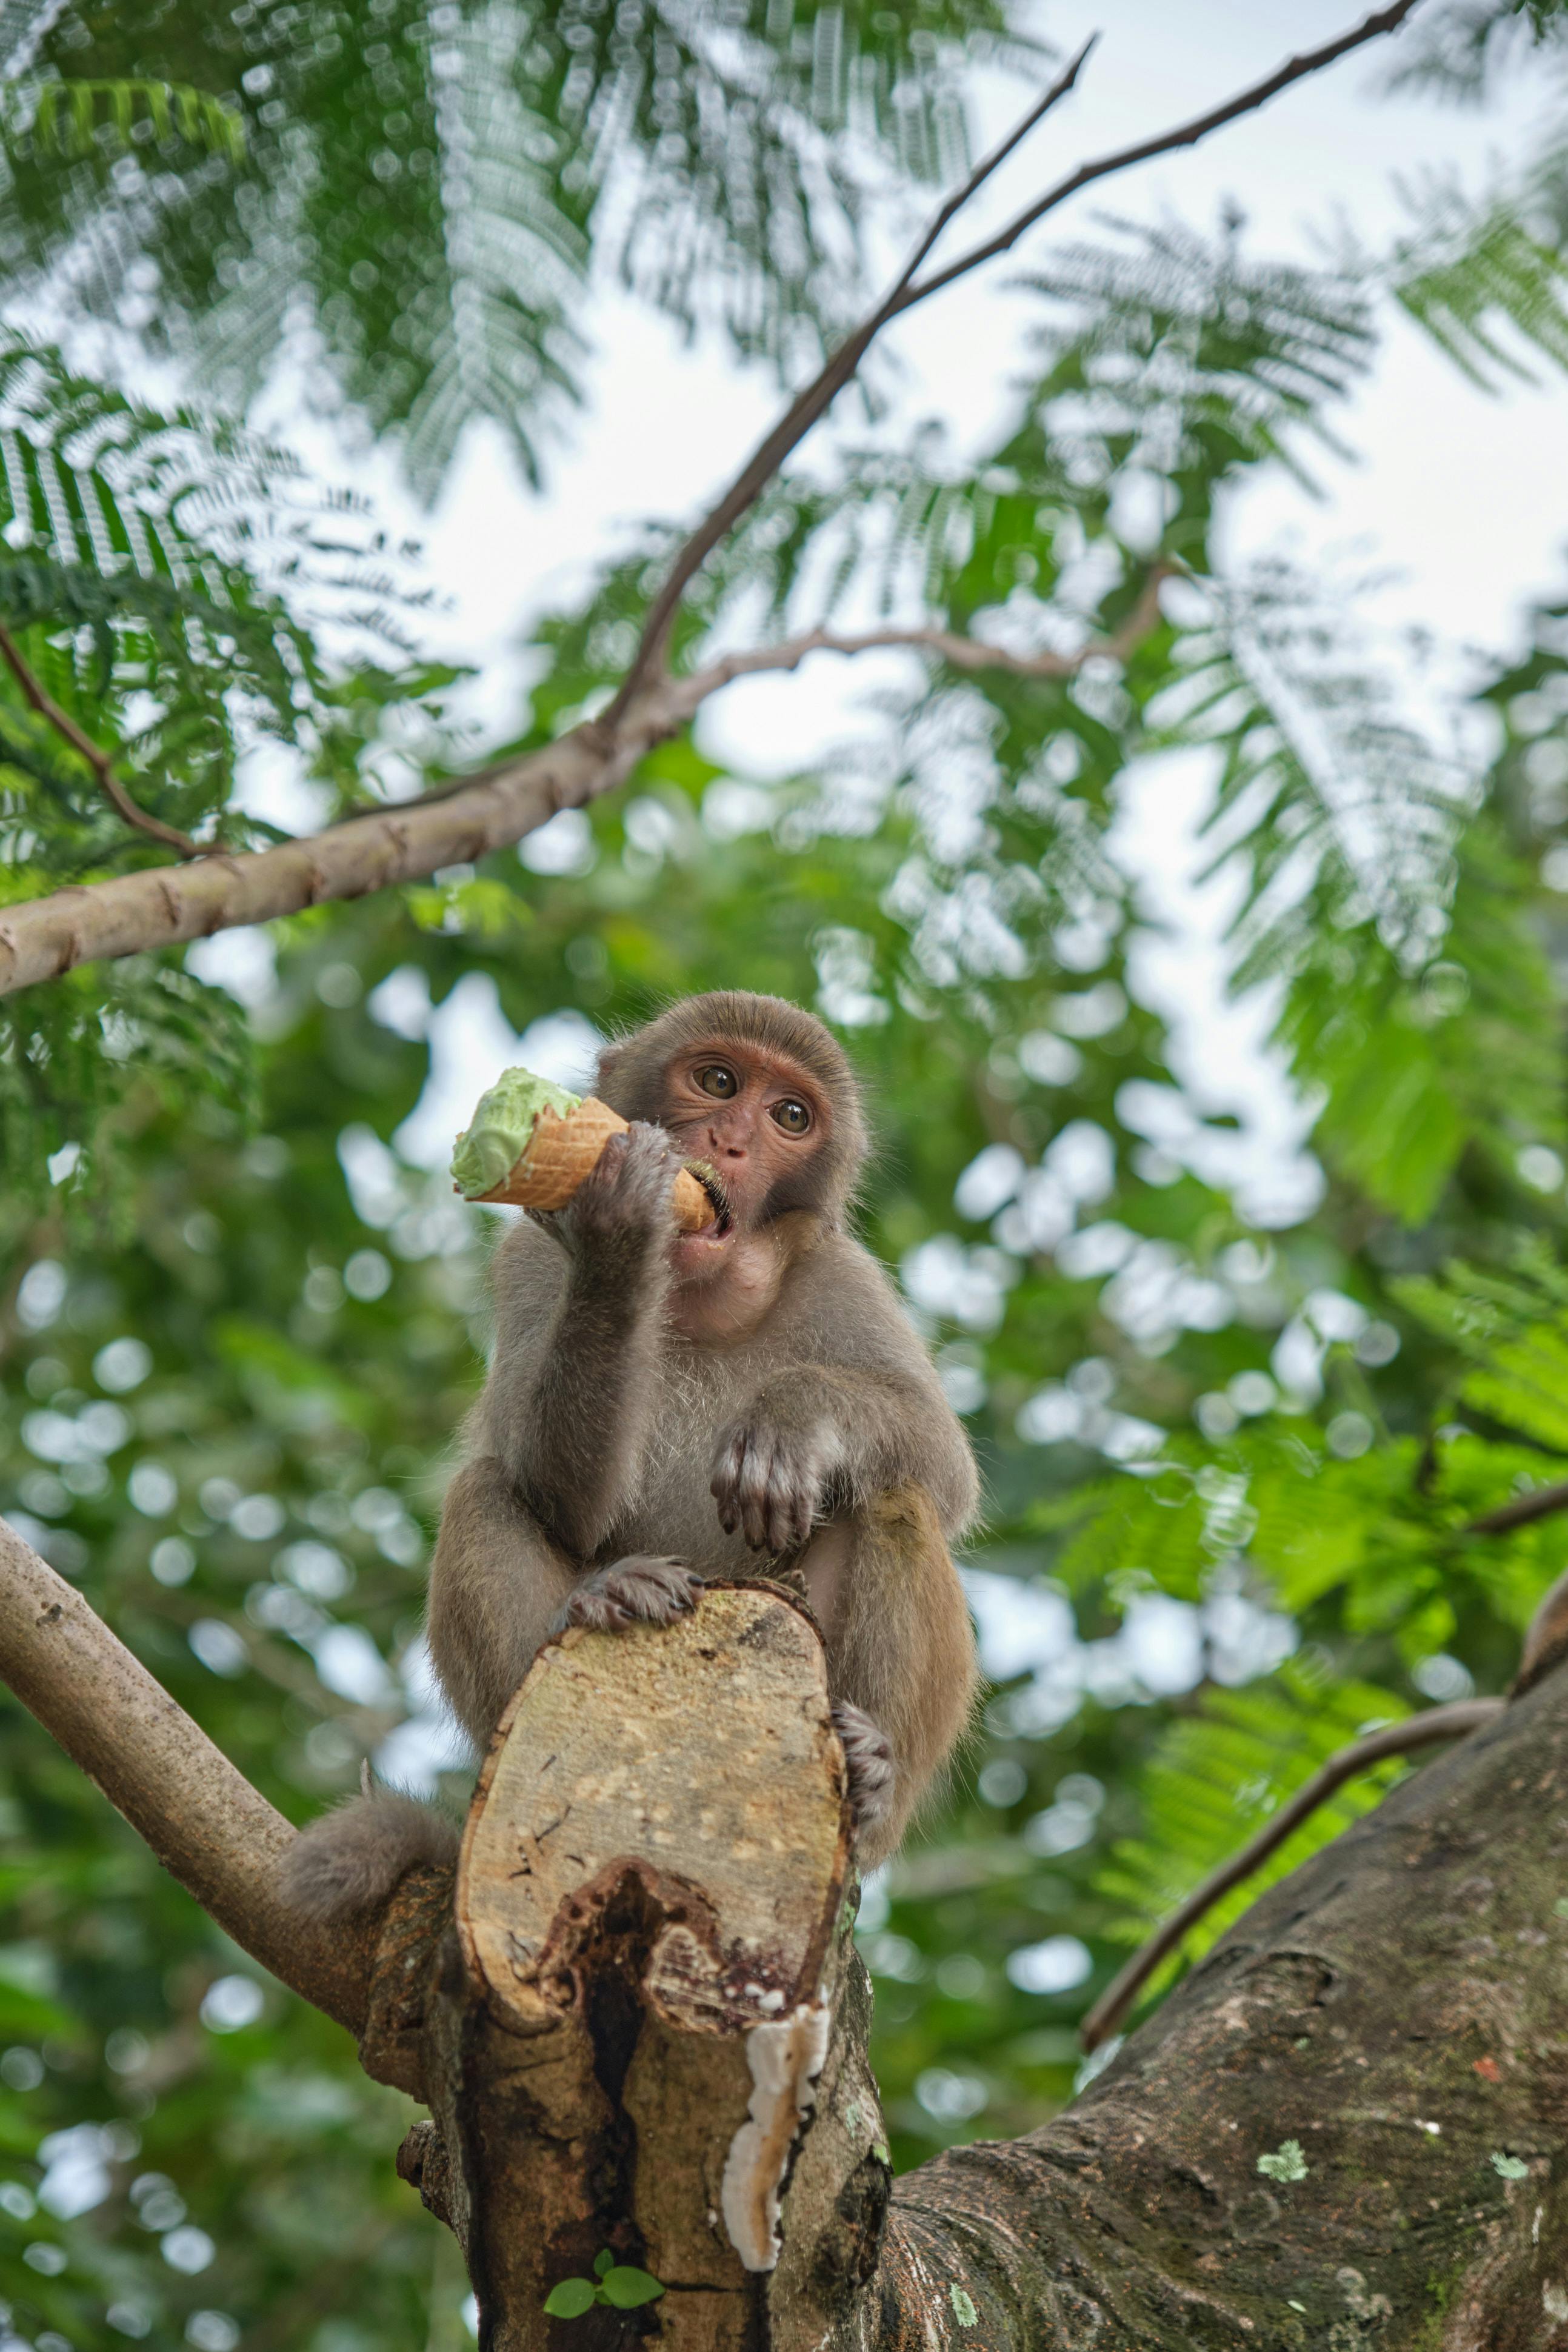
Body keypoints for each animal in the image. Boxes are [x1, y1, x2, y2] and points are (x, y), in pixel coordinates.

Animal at [284, 991, 980, 1919]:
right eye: (717, 1081)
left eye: (789, 1116)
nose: (730, 1142)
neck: (700, 1297)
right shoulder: (531, 1261)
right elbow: (555, 1493)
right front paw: (619, 1229)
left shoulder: (843, 1275)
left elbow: (941, 1464)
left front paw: (792, 1419)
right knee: (484, 1488)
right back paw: (600, 1602)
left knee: (895, 1497)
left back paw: (872, 1785)